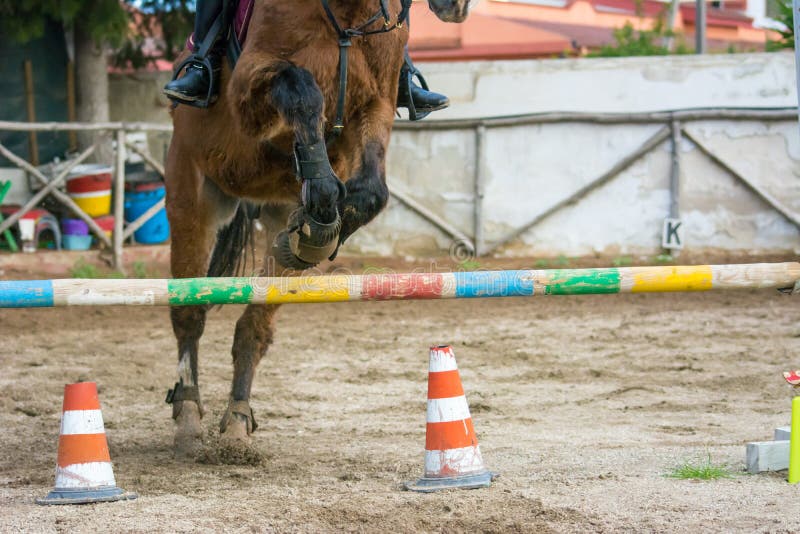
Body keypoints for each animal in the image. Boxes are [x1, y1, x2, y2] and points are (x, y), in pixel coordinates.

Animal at [164, 0, 472, 457]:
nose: (458, 7)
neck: (349, 14)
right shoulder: (251, 87)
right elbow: (302, 90)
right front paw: (321, 193)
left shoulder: (376, 105)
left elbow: (371, 191)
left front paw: (316, 229)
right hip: (192, 195)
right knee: (189, 314)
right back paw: (186, 417)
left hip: (273, 214)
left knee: (254, 328)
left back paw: (237, 421)